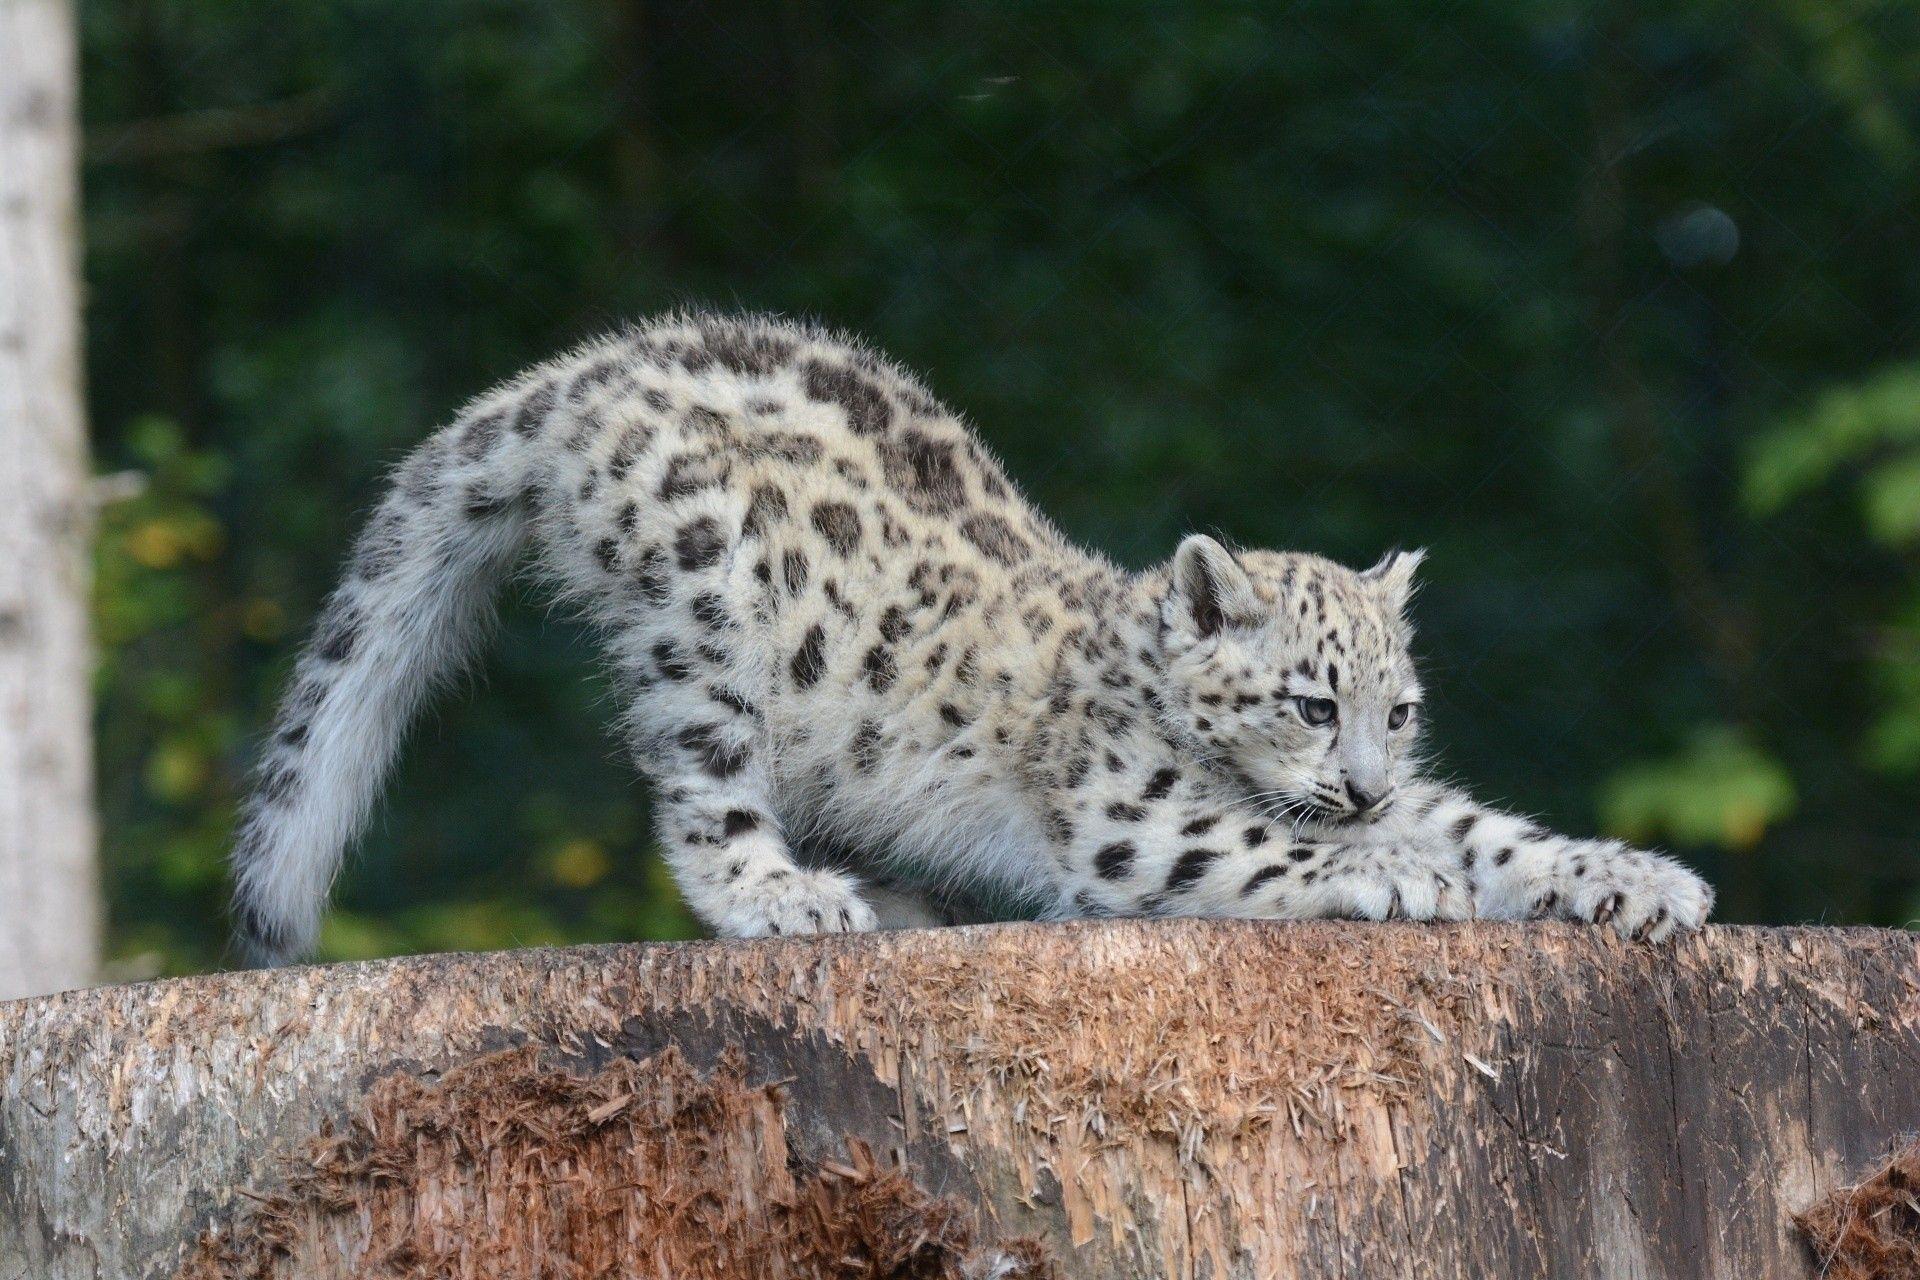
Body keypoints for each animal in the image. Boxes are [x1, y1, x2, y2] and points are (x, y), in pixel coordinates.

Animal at [230, 310, 1713, 963]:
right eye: (1307, 701)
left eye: (1395, 711)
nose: (1360, 784)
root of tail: (582, 366)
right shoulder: (1132, 819)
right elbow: (1259, 844)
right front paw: (1398, 873)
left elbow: (1486, 826)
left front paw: (1634, 877)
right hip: (703, 614)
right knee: (702, 798)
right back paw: (788, 896)